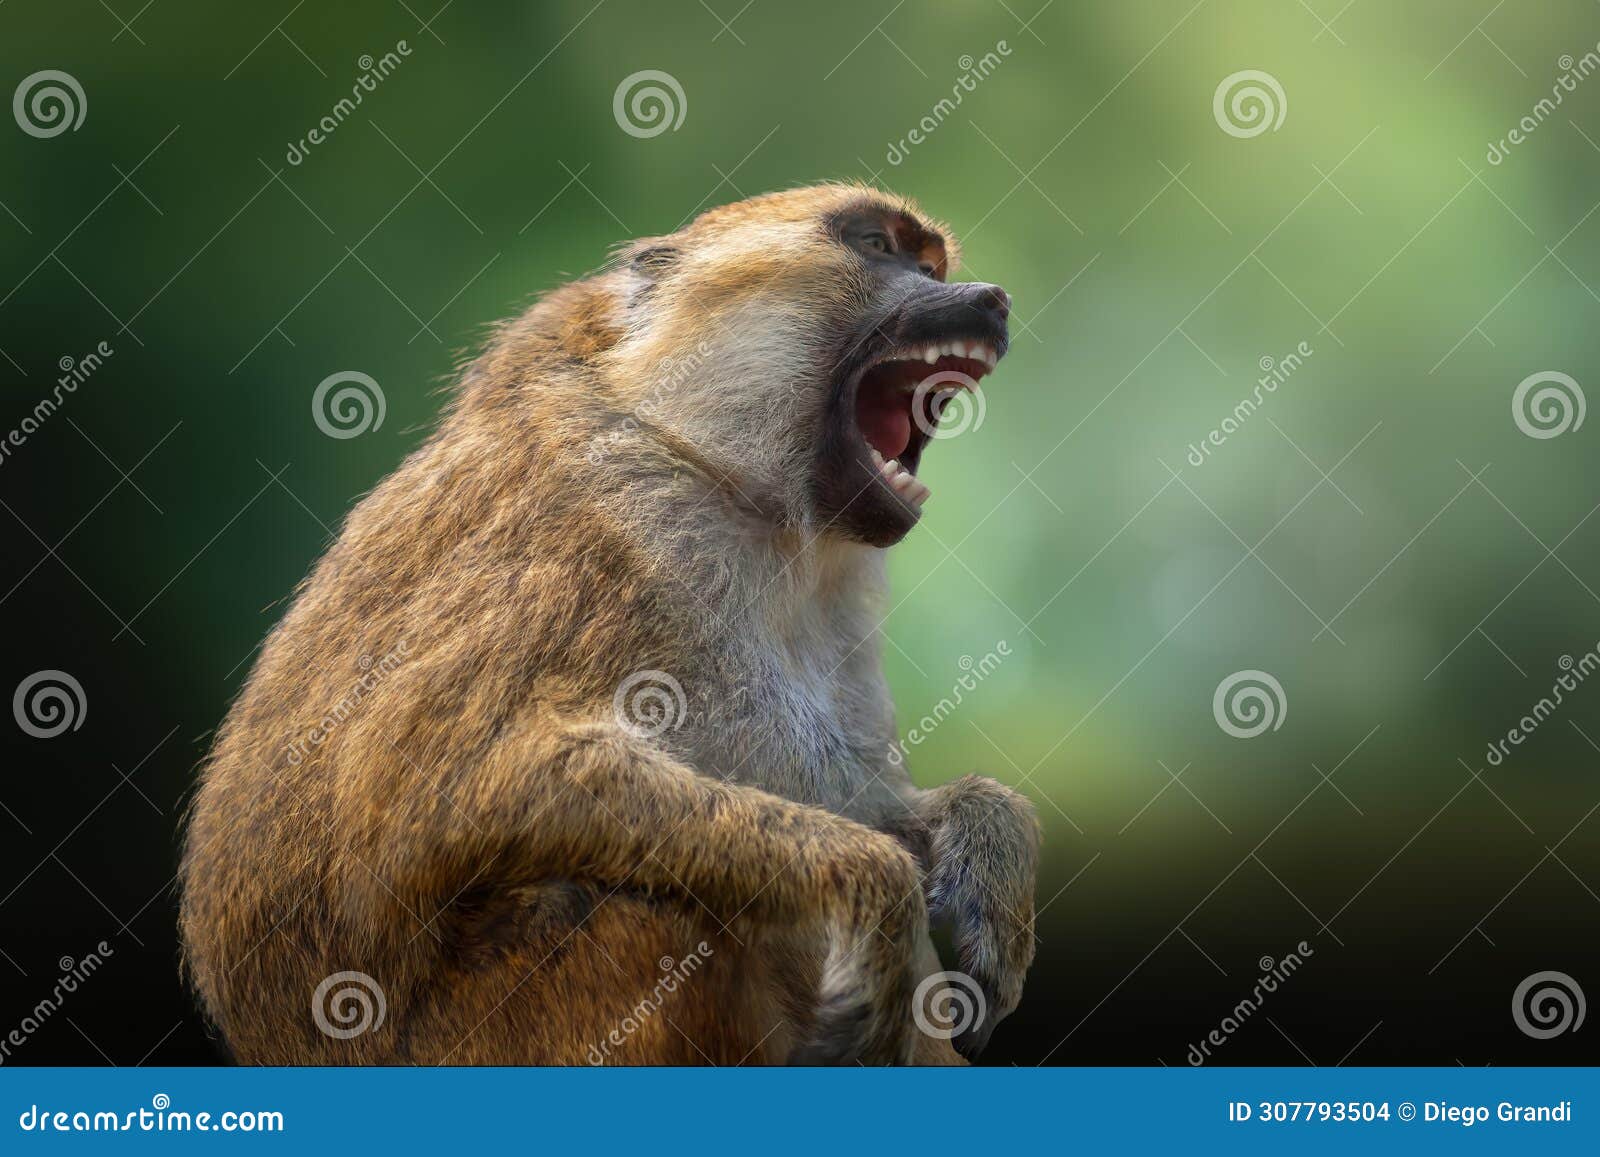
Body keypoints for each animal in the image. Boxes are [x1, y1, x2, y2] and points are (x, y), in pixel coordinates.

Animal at [178, 183, 1038, 1066]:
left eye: (931, 264)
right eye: (876, 246)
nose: (987, 299)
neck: (708, 461)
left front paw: (986, 840)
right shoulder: (601, 532)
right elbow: (451, 790)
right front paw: (876, 886)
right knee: (665, 912)